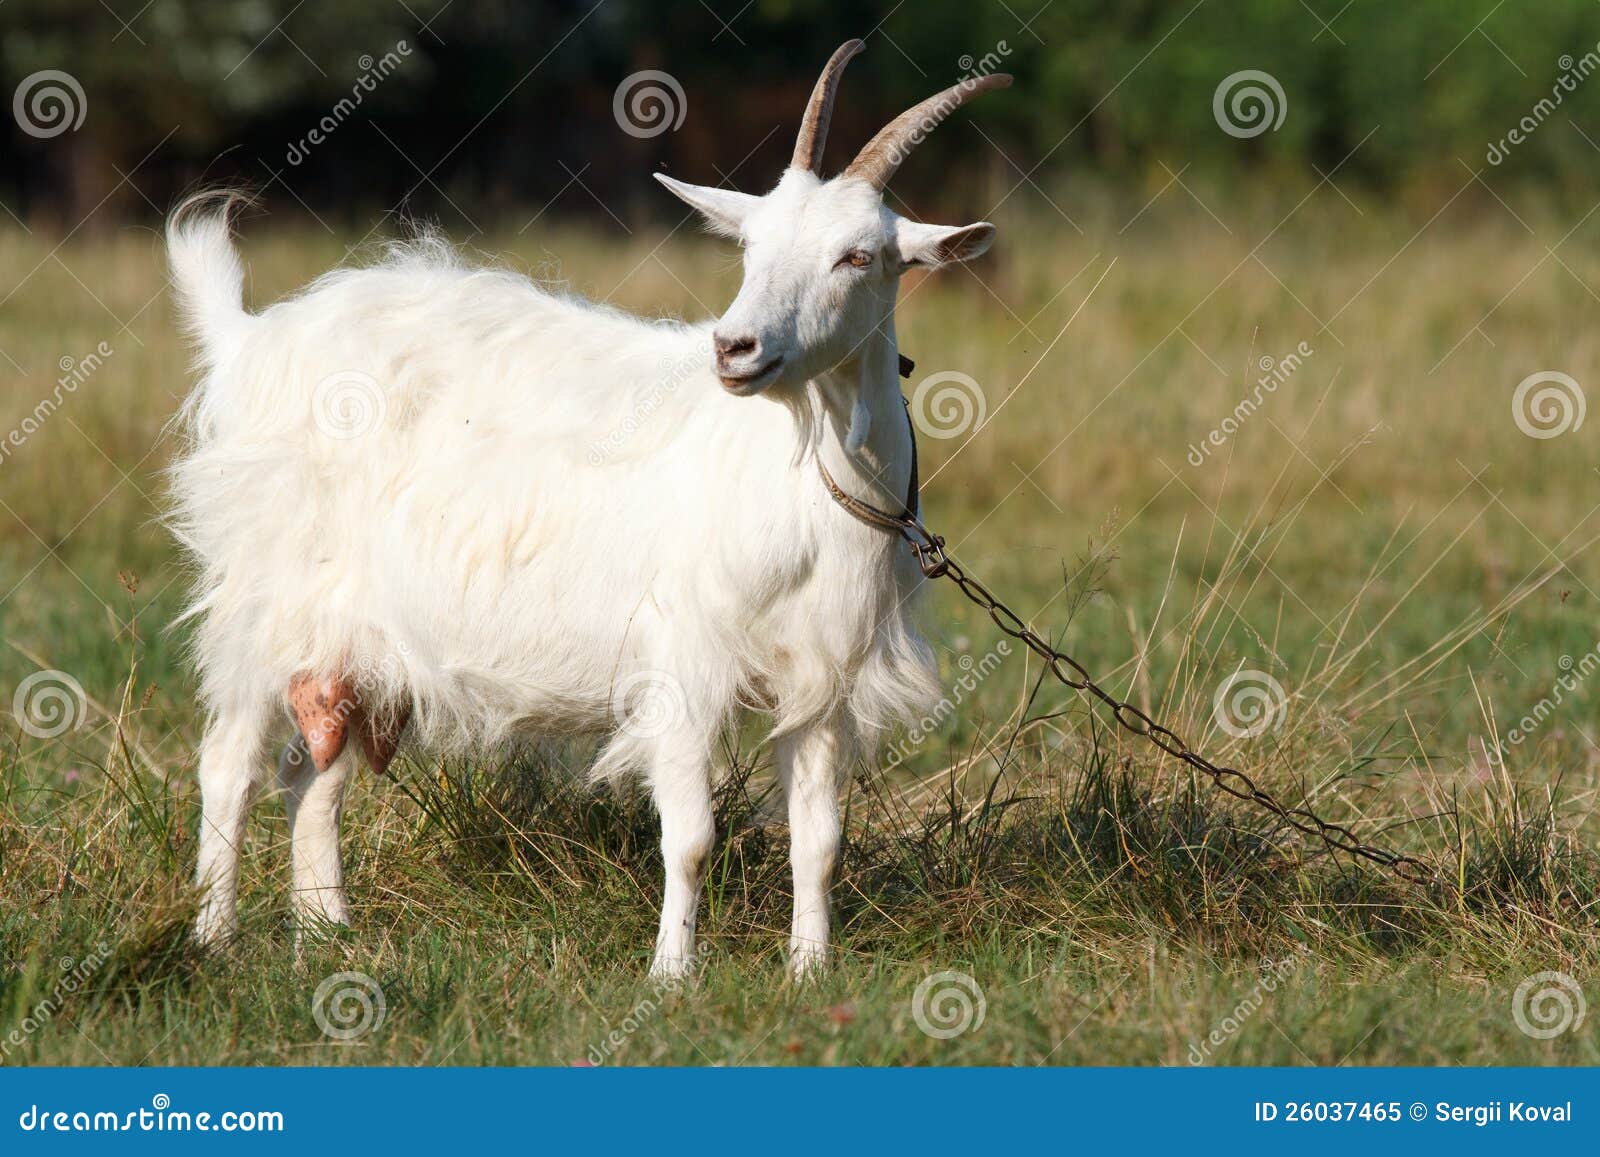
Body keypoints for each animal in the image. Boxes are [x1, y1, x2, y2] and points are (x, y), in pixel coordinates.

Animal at [166, 40, 1008, 977]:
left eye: (858, 257)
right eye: (749, 245)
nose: (735, 347)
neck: (804, 475)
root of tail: (248, 337)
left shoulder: (822, 678)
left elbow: (817, 839)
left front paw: (808, 970)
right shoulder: (684, 659)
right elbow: (691, 836)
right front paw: (671, 975)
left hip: (360, 641)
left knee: (314, 777)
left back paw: (328, 933)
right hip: (263, 600)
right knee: (229, 765)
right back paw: (214, 939)